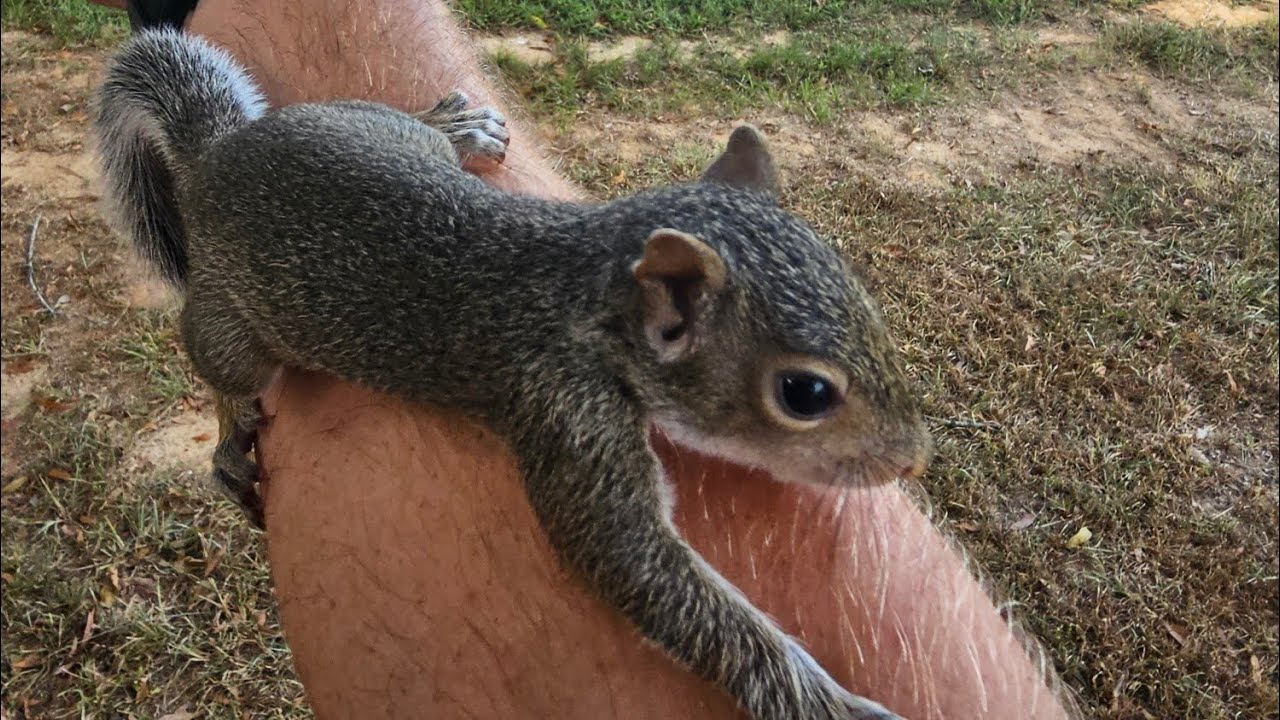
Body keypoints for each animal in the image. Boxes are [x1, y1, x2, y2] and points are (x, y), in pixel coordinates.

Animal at [95, 28, 932, 720]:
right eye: (805, 392)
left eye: (866, 297)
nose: (912, 458)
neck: (586, 287)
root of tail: (220, 152)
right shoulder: (567, 414)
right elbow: (645, 570)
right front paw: (834, 707)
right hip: (235, 327)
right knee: (219, 364)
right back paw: (229, 435)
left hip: (368, 123)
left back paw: (454, 127)